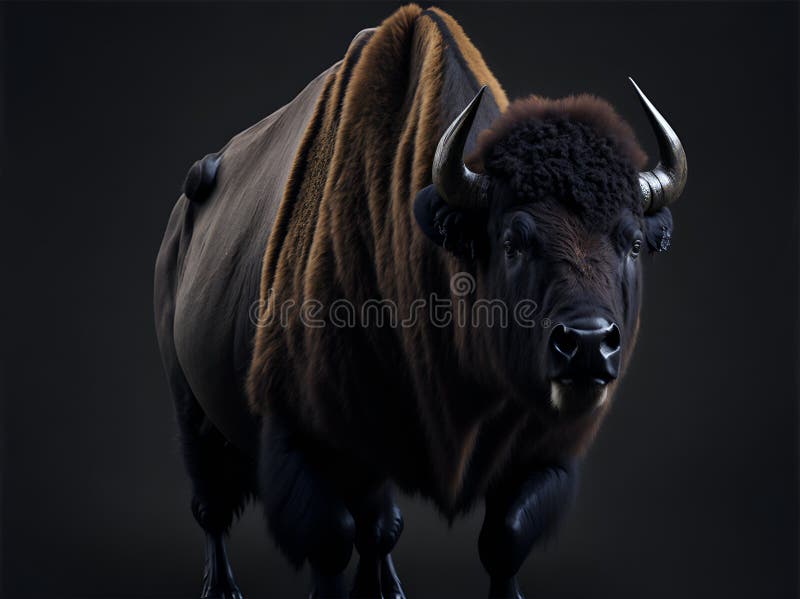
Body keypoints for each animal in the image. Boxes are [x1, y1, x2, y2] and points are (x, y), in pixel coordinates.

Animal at [154, 5, 686, 598]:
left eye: (632, 241)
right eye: (512, 240)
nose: (589, 344)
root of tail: (180, 225)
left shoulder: (543, 450)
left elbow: (503, 538)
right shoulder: (298, 437)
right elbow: (330, 539)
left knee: (375, 521)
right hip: (192, 407)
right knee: (212, 504)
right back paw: (222, 588)